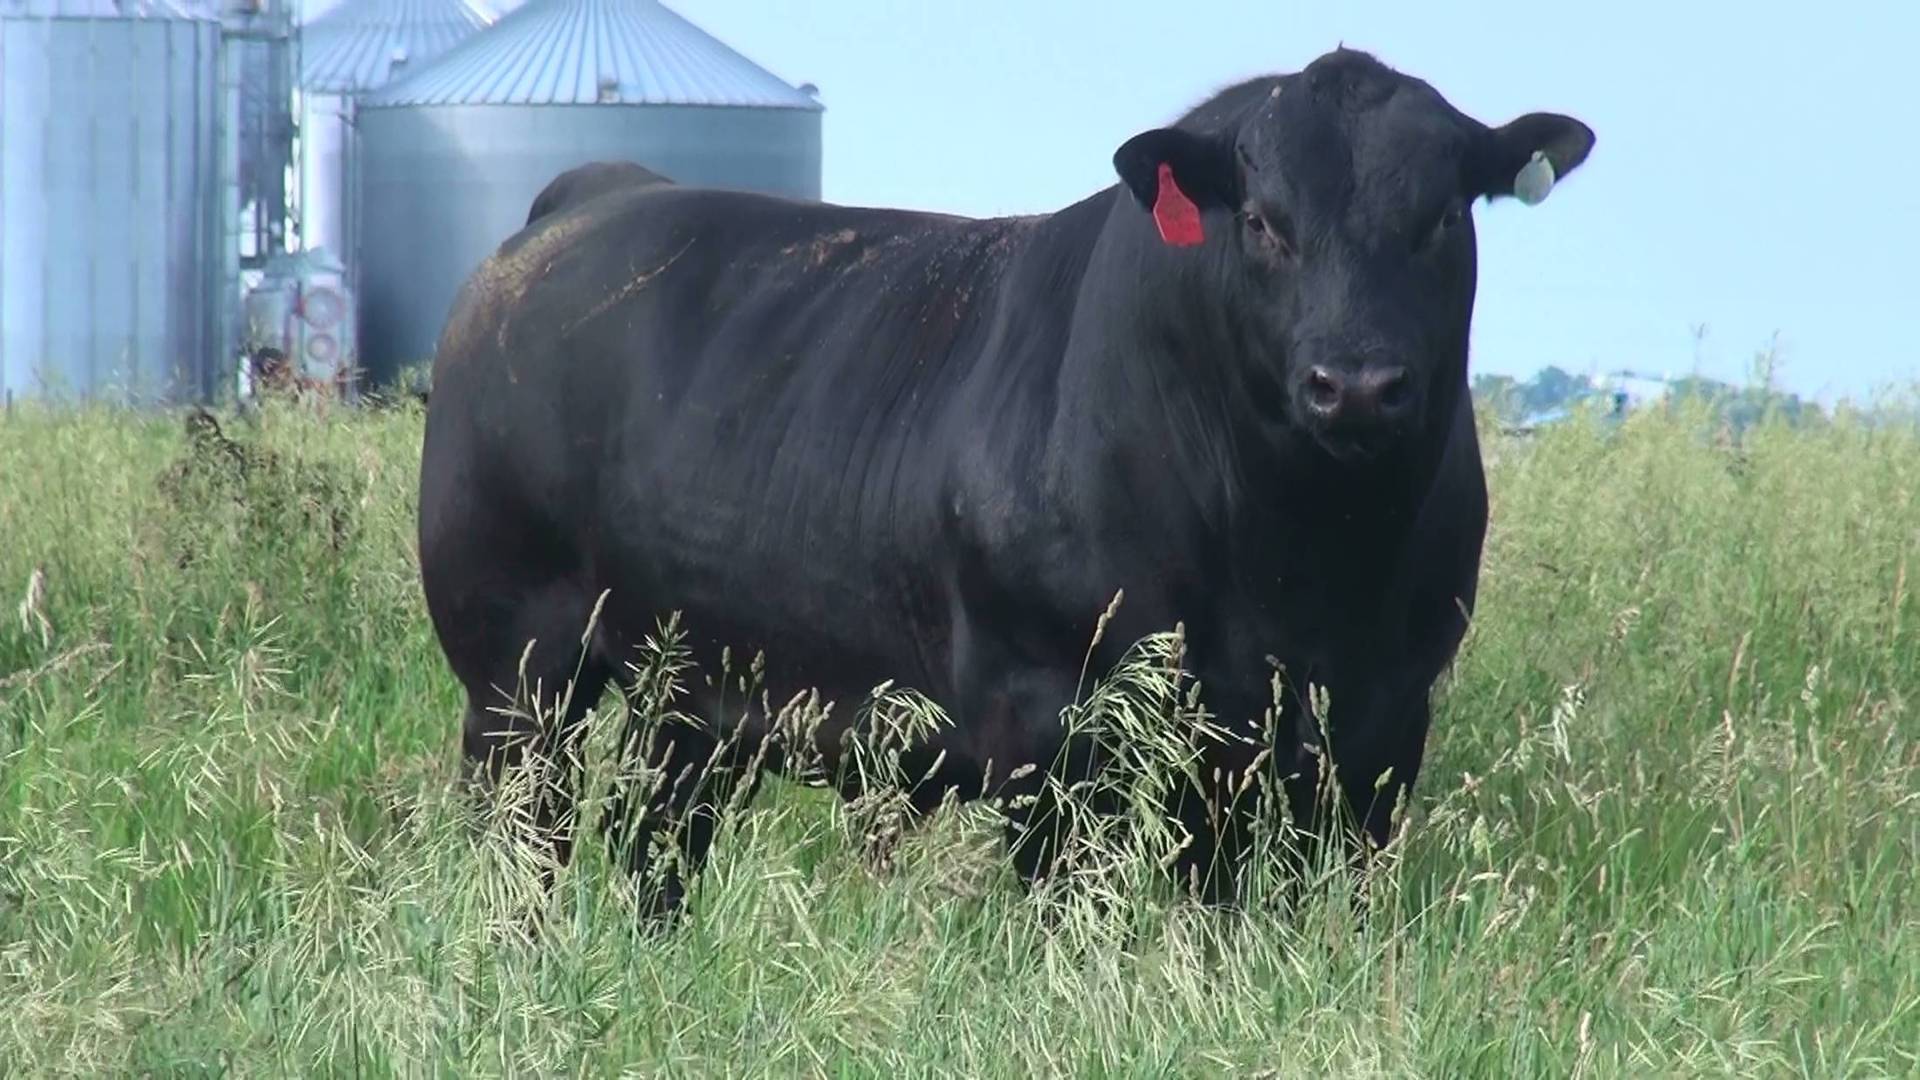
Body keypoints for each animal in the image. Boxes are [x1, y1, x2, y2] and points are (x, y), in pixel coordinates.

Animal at [417, 47, 1594, 918]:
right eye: (1263, 220)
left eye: (1444, 216)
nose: (1355, 385)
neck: (1298, 557)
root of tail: (597, 195)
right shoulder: (1056, 719)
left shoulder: (1374, 721)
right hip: (515, 667)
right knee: (522, 842)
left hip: (694, 687)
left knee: (654, 838)